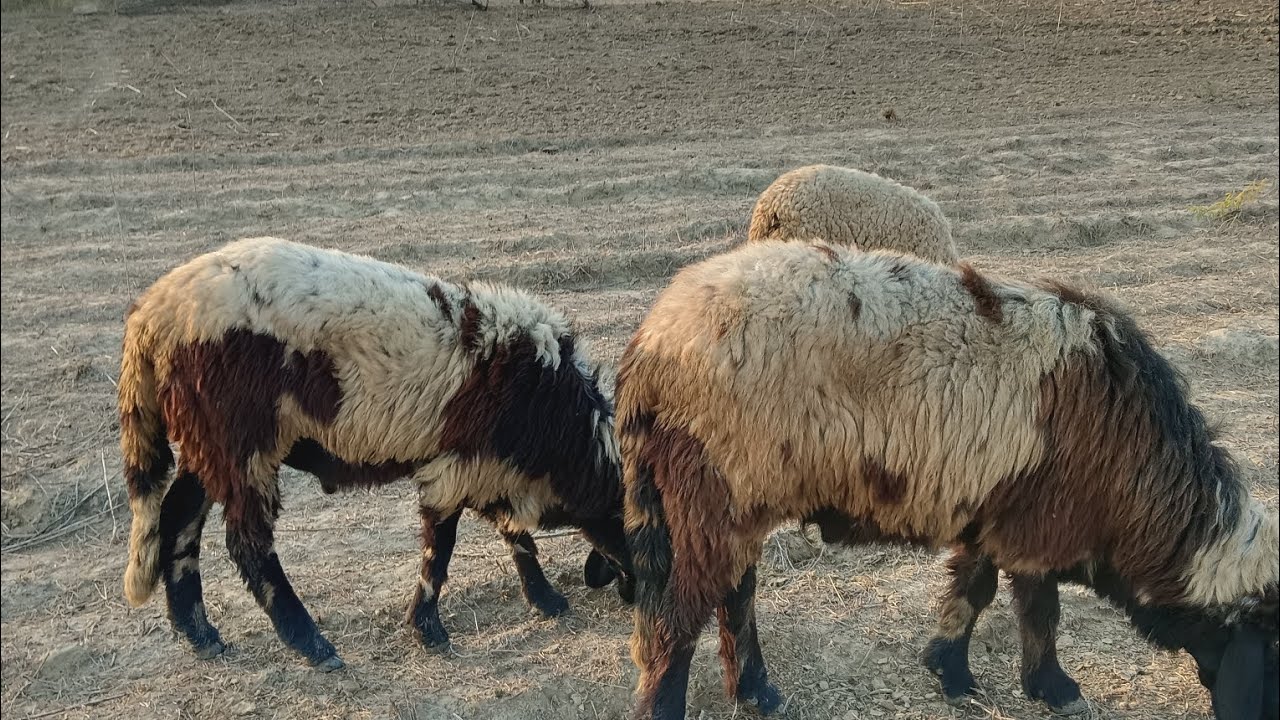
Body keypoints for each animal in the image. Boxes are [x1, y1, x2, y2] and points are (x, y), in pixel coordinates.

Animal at [119, 236, 634, 670]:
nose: (632, 599)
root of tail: (151, 315)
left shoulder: (486, 466)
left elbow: (513, 533)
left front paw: (545, 600)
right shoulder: (461, 465)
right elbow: (441, 548)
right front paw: (428, 630)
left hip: (207, 440)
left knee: (179, 520)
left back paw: (200, 635)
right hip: (243, 440)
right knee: (247, 543)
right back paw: (311, 644)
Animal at [615, 239, 1279, 720]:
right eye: (1269, 649)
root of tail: (650, 344)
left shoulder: (992, 512)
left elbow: (972, 590)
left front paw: (950, 670)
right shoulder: (1039, 526)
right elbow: (1040, 609)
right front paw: (1053, 687)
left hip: (732, 500)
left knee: (734, 595)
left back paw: (757, 692)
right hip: (713, 488)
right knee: (680, 614)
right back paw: (669, 706)